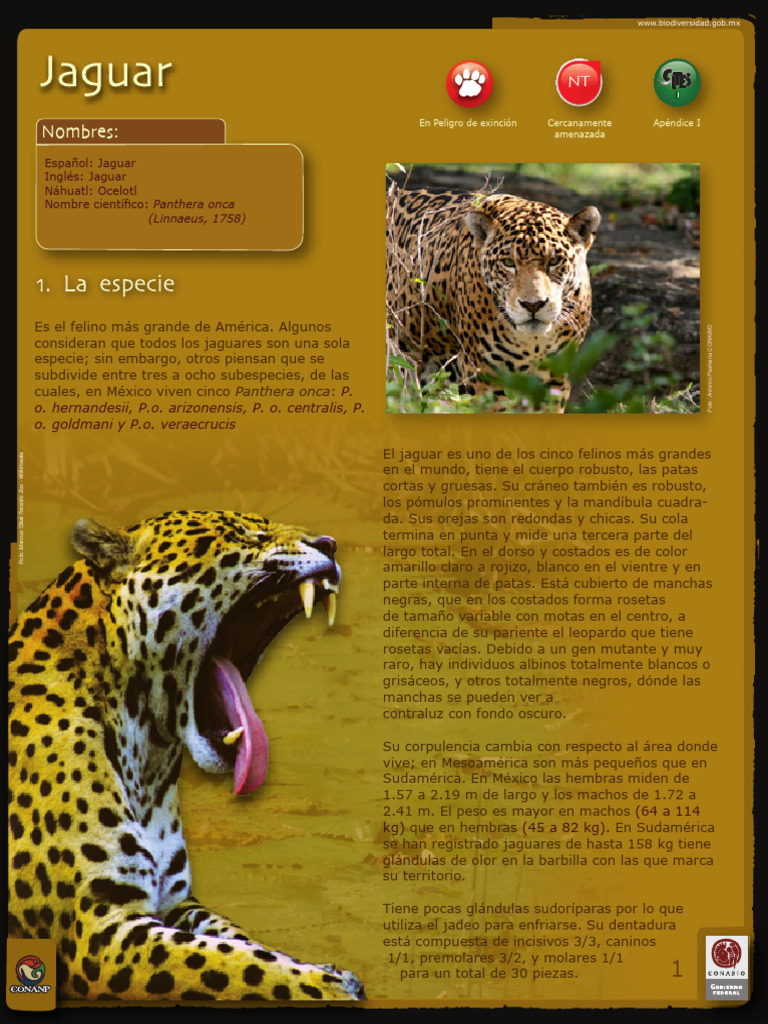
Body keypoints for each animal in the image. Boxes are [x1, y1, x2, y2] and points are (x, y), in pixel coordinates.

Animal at [8, 510, 365, 1003]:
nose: (330, 544)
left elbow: (235, 942)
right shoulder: (97, 930)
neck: (146, 758)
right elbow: (231, 964)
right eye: (245, 534)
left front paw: (319, 970)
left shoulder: (177, 901)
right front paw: (327, 985)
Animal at [386, 186, 601, 409]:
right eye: (508, 262)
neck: (533, 342)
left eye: (554, 261)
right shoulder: (485, 377)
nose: (533, 305)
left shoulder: (556, 378)